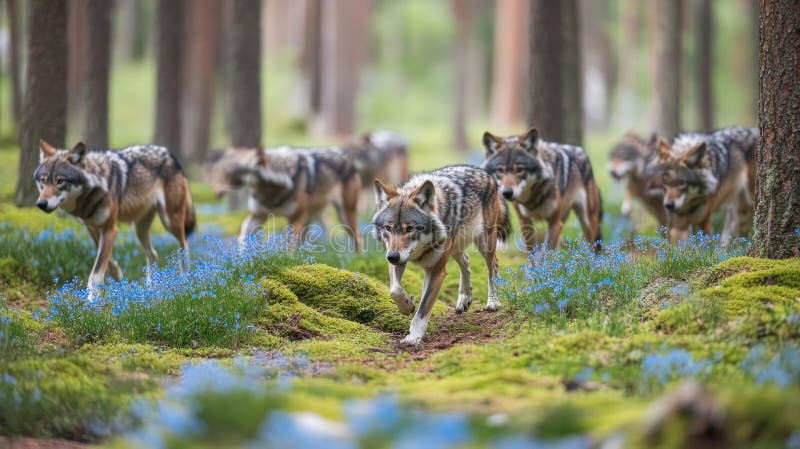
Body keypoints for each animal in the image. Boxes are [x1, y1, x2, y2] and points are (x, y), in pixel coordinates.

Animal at [35, 140, 195, 289]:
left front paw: (92, 299)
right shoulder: (93, 228)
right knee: (153, 254)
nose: (41, 204)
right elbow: (107, 261)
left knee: (184, 245)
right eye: (43, 181)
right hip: (139, 230)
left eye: (60, 181)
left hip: (170, 221)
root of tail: (170, 155)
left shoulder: (110, 229)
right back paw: (150, 288)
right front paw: (118, 276)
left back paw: (184, 280)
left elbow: (96, 273)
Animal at [204, 145, 362, 250]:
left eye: (232, 171)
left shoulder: (294, 219)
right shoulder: (256, 216)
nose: (216, 194)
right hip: (311, 218)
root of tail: (344, 156)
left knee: (358, 238)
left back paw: (356, 259)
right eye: (215, 169)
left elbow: (287, 248)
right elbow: (244, 240)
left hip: (345, 219)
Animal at [372, 165, 511, 346]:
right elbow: (395, 290)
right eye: (388, 228)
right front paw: (408, 305)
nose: (393, 257)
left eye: (410, 228)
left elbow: (423, 309)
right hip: (455, 247)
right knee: (466, 262)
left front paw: (413, 337)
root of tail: (485, 172)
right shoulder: (398, 260)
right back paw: (464, 299)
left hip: (485, 242)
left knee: (493, 265)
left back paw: (493, 302)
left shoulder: (436, 272)